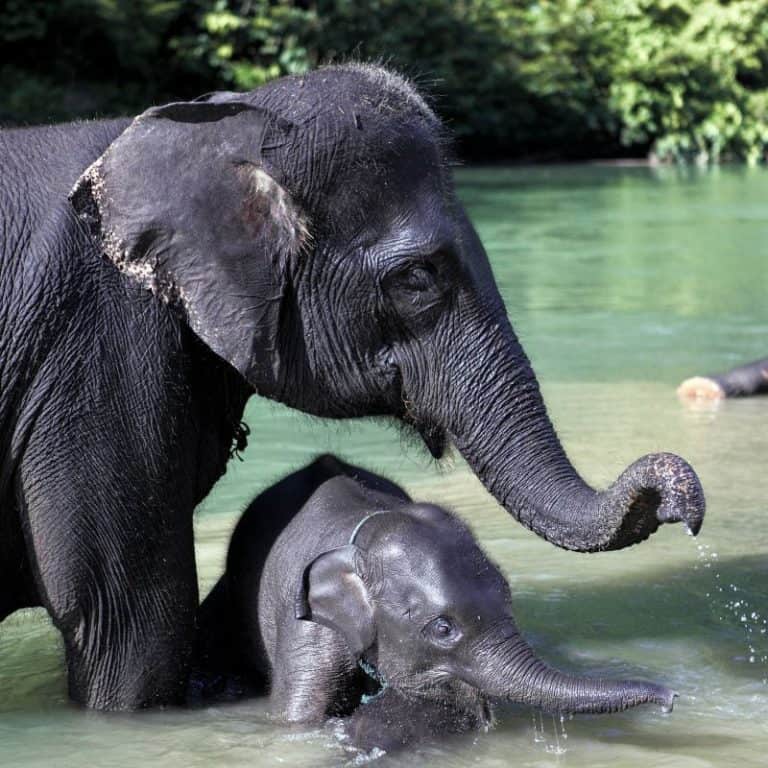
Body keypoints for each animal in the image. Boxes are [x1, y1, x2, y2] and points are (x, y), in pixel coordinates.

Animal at [195, 454, 676, 752]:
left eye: (509, 596)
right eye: (442, 628)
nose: (671, 698)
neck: (367, 530)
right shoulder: (307, 629)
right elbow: (298, 720)